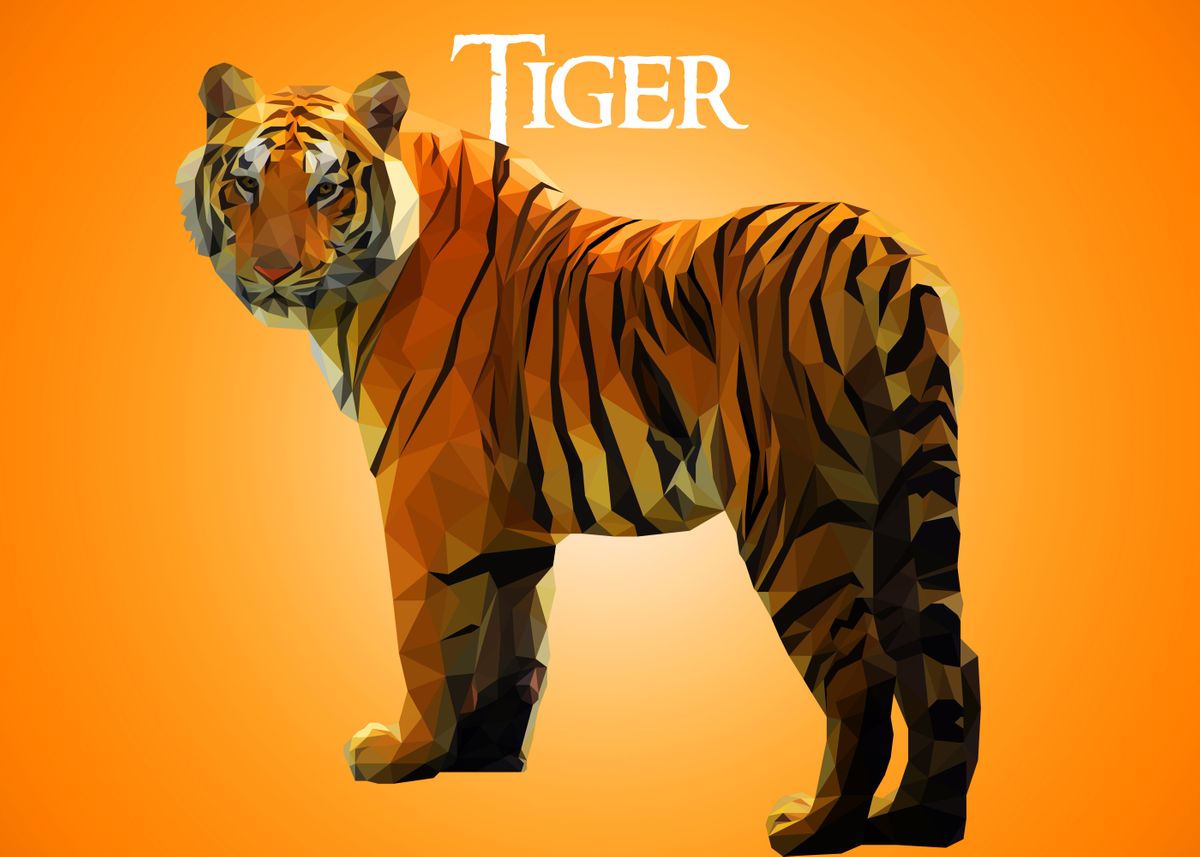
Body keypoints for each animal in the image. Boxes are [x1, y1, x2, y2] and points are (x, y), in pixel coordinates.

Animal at [178, 63, 980, 855]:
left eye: (326, 188)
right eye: (245, 184)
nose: (271, 271)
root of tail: (879, 247)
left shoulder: (427, 488)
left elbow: (429, 638)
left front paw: (403, 755)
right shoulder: (507, 516)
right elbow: (512, 638)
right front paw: (488, 754)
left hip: (792, 499)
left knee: (861, 664)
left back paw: (814, 827)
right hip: (906, 488)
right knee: (942, 651)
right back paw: (919, 819)